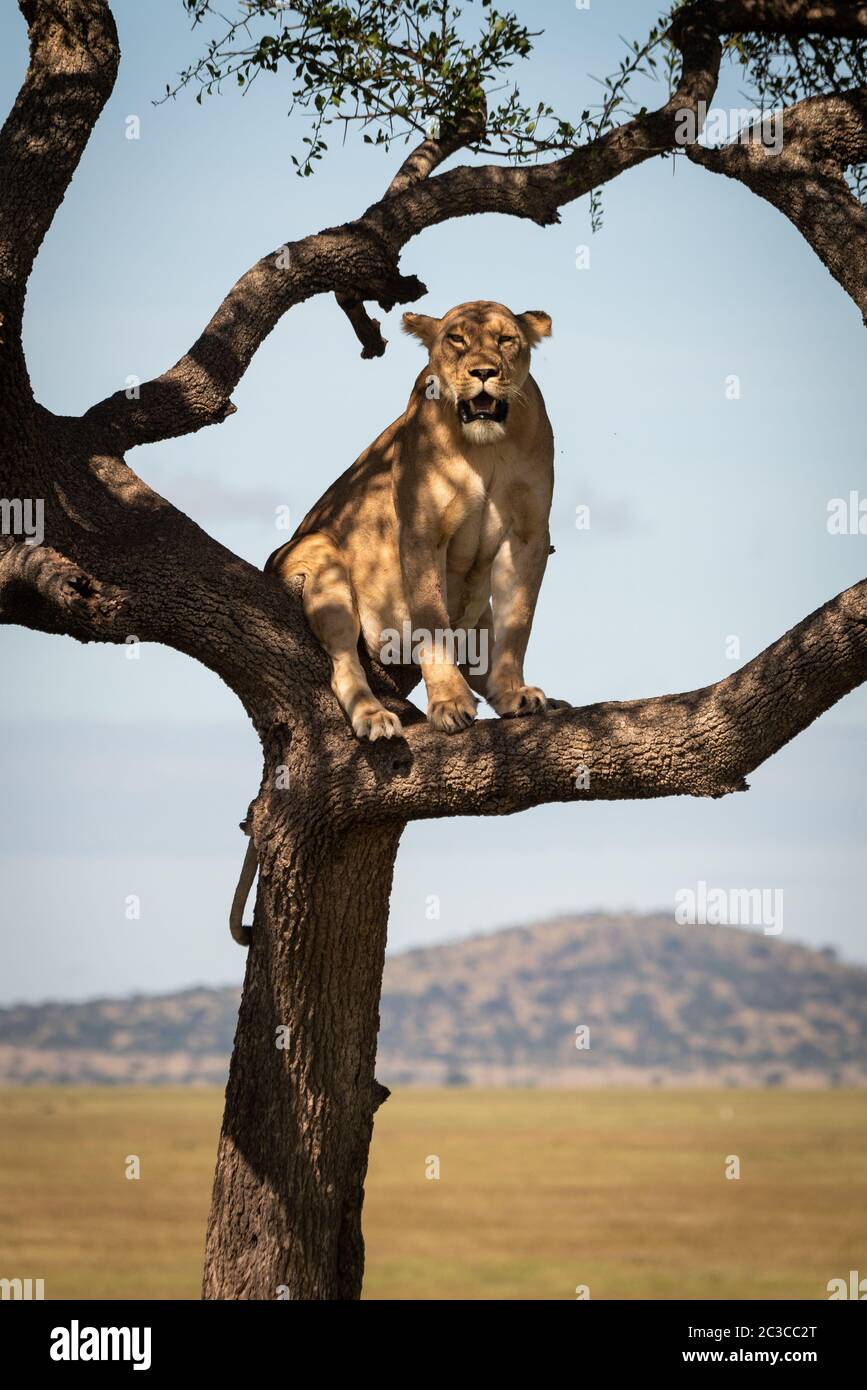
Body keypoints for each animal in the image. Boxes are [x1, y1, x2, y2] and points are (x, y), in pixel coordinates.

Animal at [265, 300, 560, 742]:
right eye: (456, 340)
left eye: (507, 340)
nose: (484, 372)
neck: (485, 447)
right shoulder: (422, 532)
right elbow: (432, 621)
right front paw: (449, 703)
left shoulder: (528, 533)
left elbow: (519, 621)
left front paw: (512, 693)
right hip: (320, 552)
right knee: (342, 663)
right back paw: (373, 716)